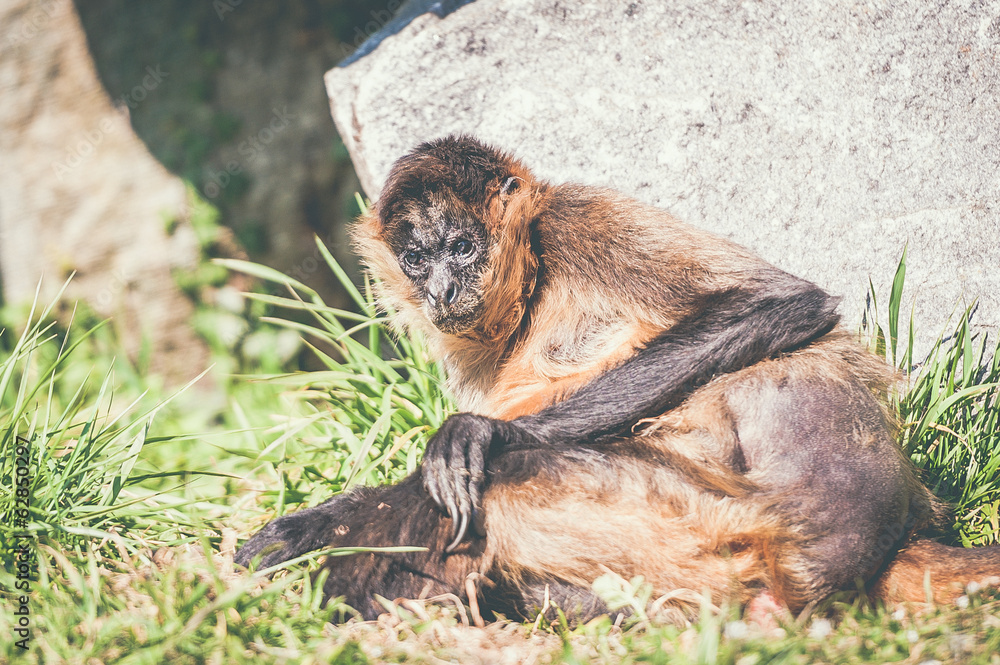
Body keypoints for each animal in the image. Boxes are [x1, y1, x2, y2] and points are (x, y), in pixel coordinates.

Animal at [236, 135, 999, 621]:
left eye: (462, 247)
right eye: (417, 258)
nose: (442, 288)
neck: (532, 284)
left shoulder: (576, 215)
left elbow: (782, 303)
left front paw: (475, 436)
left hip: (708, 516)